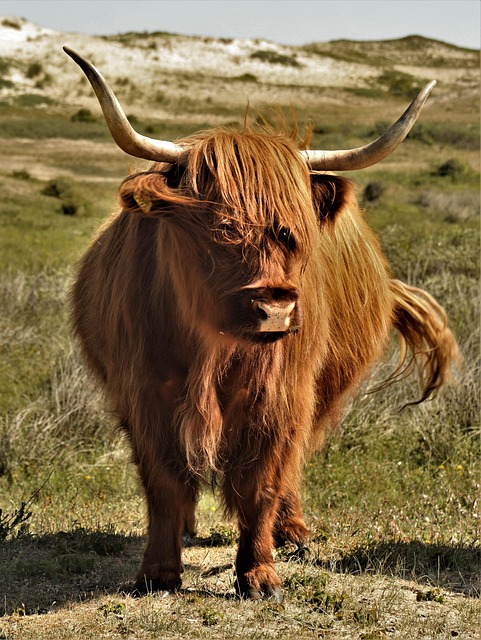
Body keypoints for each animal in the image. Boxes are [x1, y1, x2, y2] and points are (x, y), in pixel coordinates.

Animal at [64, 47, 459, 601]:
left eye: (294, 231)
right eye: (217, 226)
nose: (275, 309)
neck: (211, 349)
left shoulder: (282, 397)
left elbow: (263, 481)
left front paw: (259, 574)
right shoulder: (145, 397)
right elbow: (164, 484)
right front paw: (158, 571)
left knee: (292, 466)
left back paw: (292, 532)